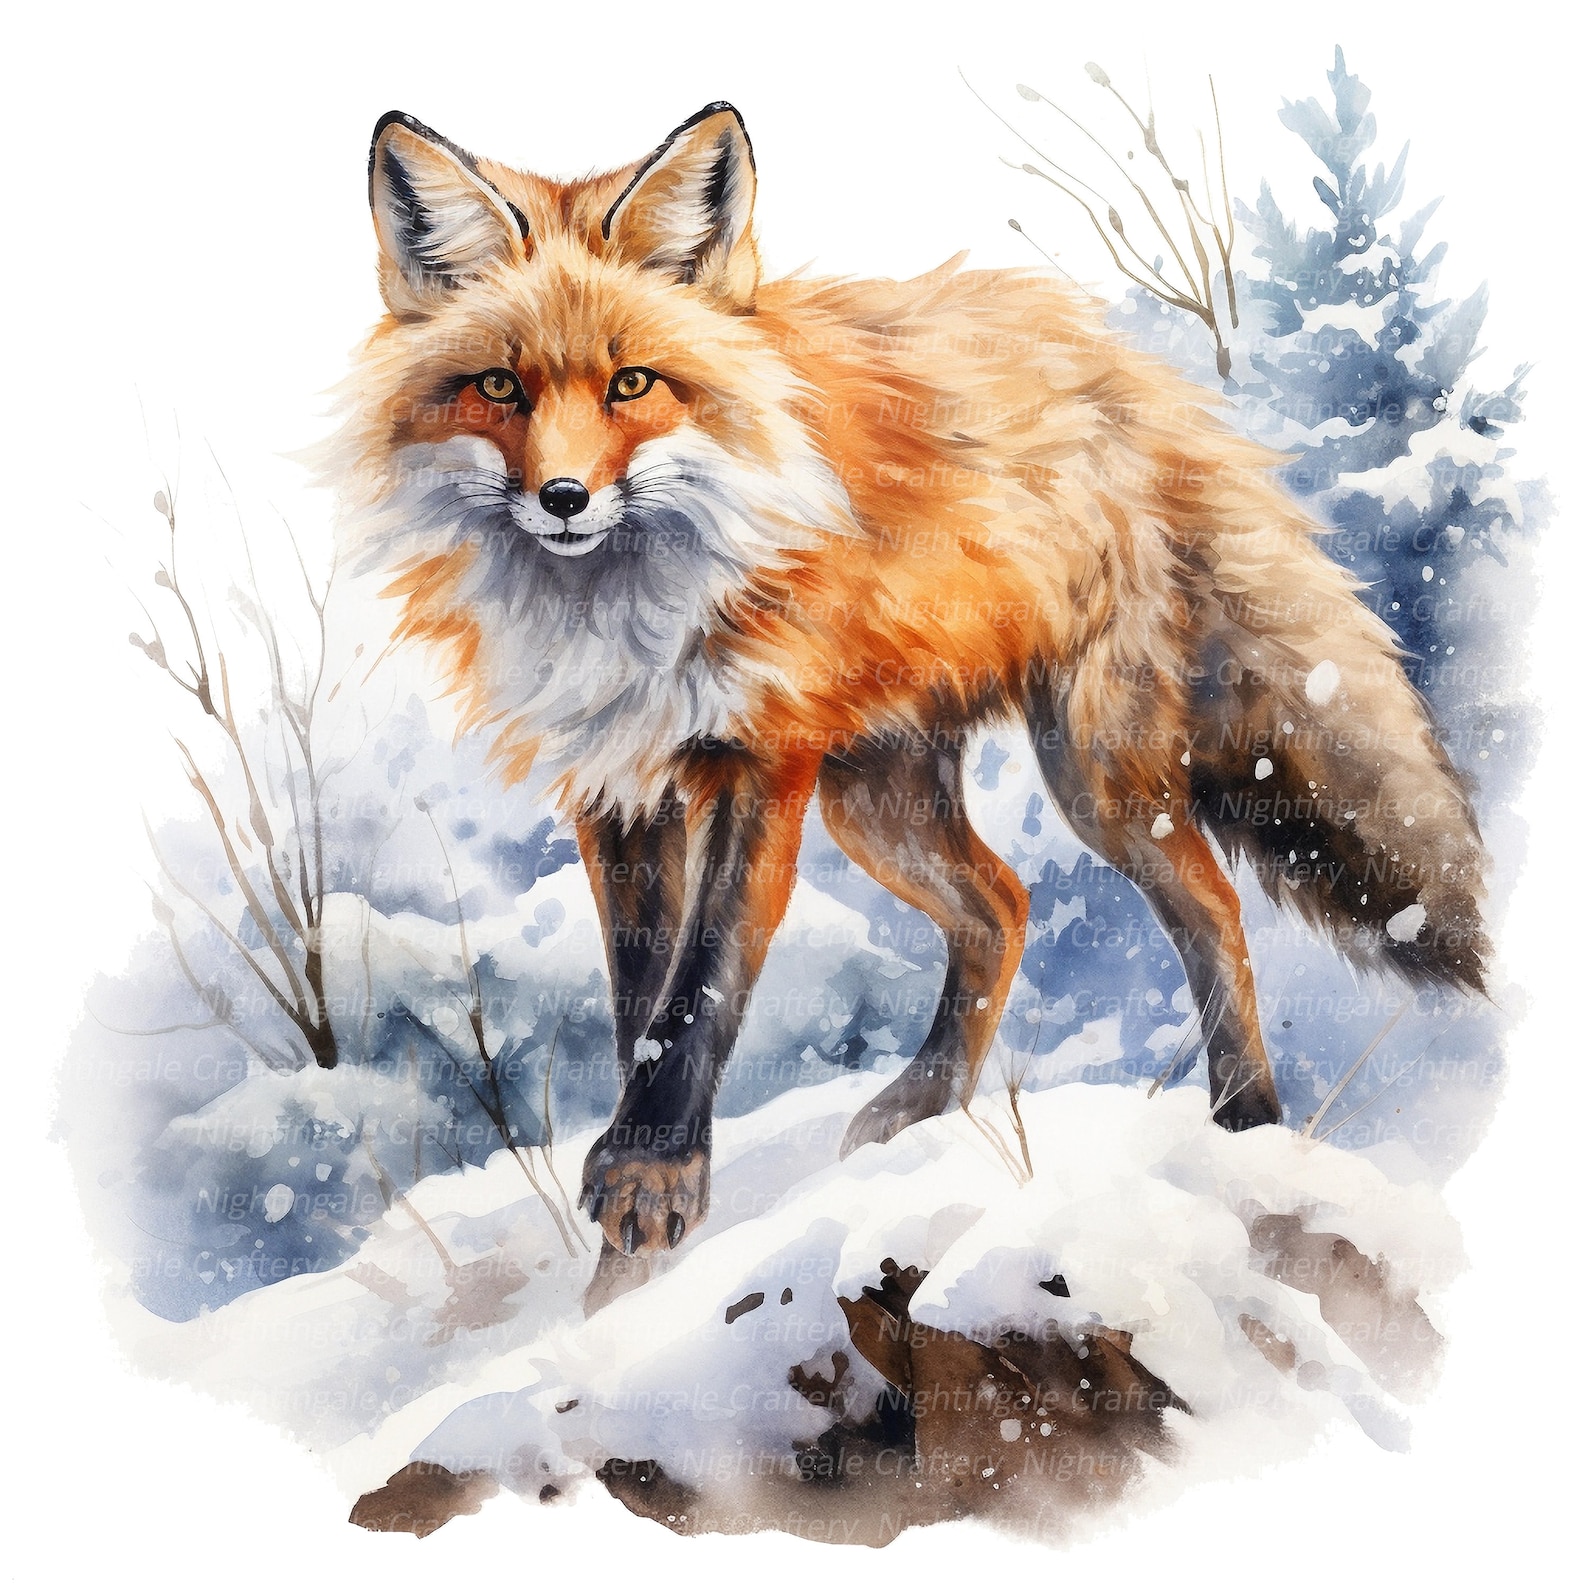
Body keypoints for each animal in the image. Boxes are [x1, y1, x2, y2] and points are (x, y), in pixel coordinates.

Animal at [332, 103, 1489, 1279]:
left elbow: (698, 993)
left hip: (1090, 776)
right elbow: (638, 1009)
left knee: (1210, 905)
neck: (626, 614)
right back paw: (930, 1102)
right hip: (877, 801)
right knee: (1003, 904)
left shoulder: (763, 761)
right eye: (499, 387)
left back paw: (1245, 1124)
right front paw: (636, 1213)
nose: (563, 497)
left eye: (632, 384)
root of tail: (1137, 372)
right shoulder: (619, 789)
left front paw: (653, 1173)